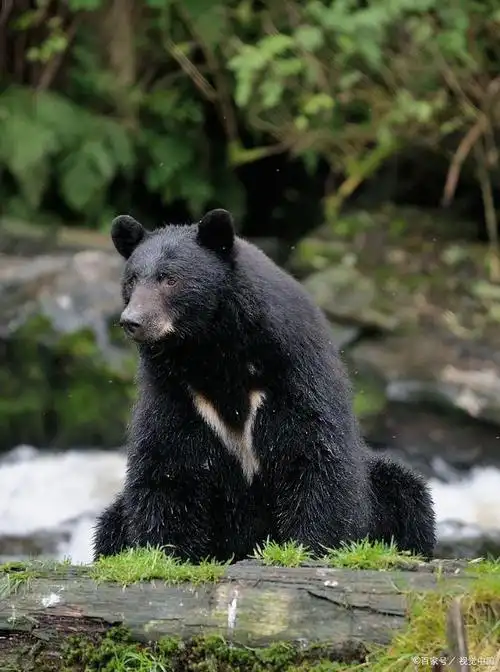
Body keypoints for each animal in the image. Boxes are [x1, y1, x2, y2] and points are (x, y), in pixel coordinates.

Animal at [93, 208, 436, 562]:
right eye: (132, 280)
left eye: (170, 279)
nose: (133, 321)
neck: (211, 351)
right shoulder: (176, 391)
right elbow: (168, 464)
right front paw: (167, 553)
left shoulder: (290, 372)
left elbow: (314, 451)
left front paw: (310, 545)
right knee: (111, 523)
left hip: (387, 482)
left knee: (406, 491)